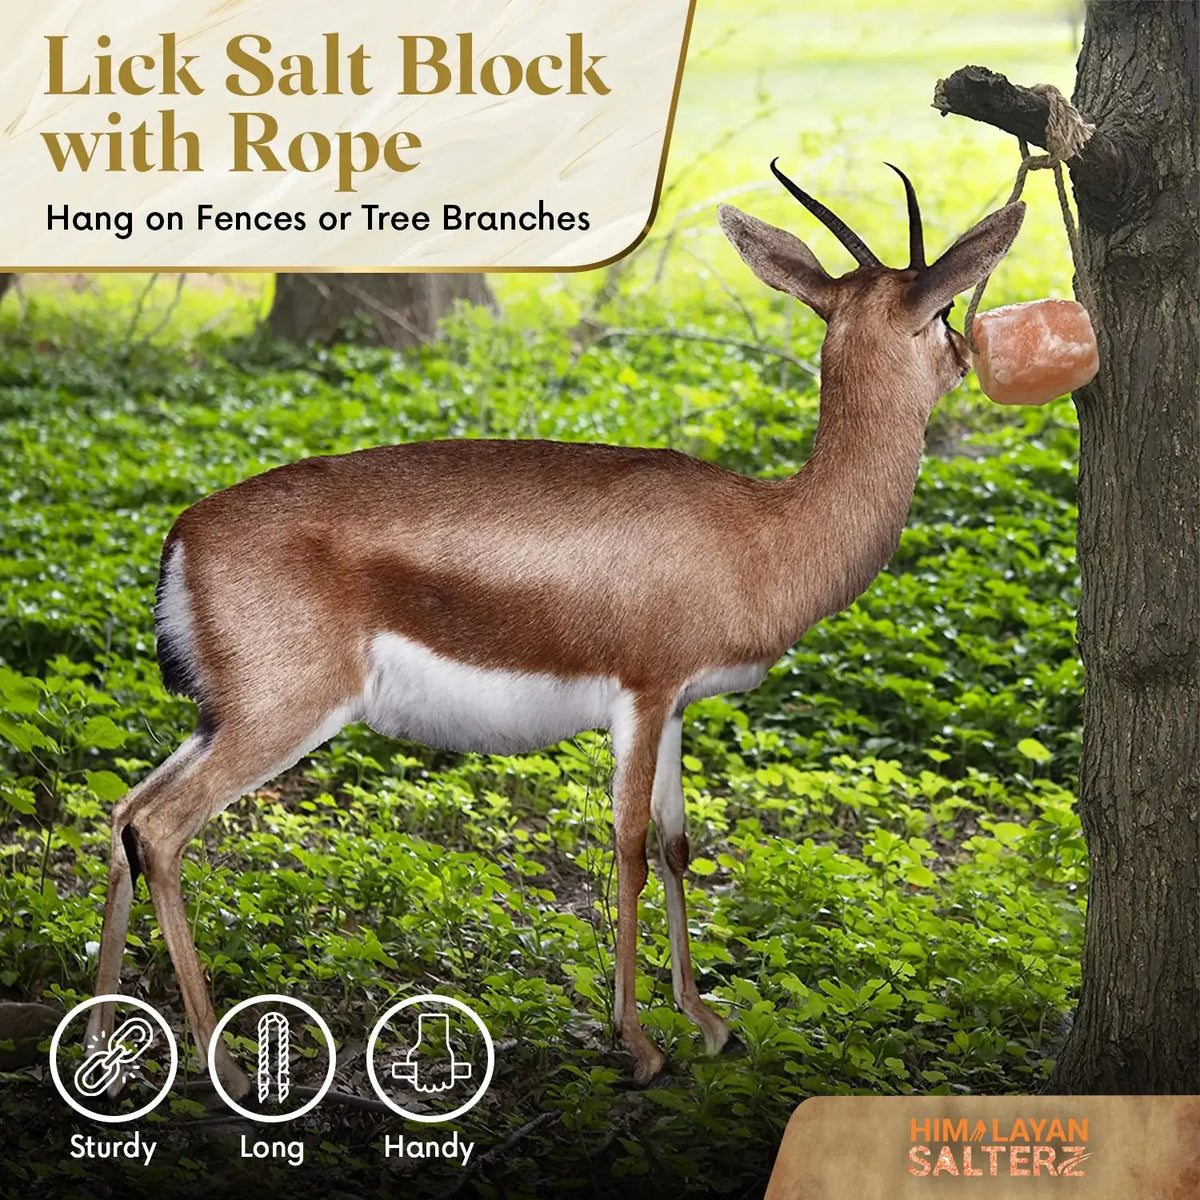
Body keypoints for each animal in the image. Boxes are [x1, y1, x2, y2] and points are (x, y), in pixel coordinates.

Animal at [86, 161, 1024, 1093]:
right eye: (941, 311)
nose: (969, 356)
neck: (762, 533)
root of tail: (184, 532)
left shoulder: (676, 707)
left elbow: (679, 845)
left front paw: (707, 1023)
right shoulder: (643, 694)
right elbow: (630, 847)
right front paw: (640, 1044)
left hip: (216, 720)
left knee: (124, 815)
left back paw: (101, 1051)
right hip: (280, 718)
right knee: (161, 831)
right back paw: (227, 1068)